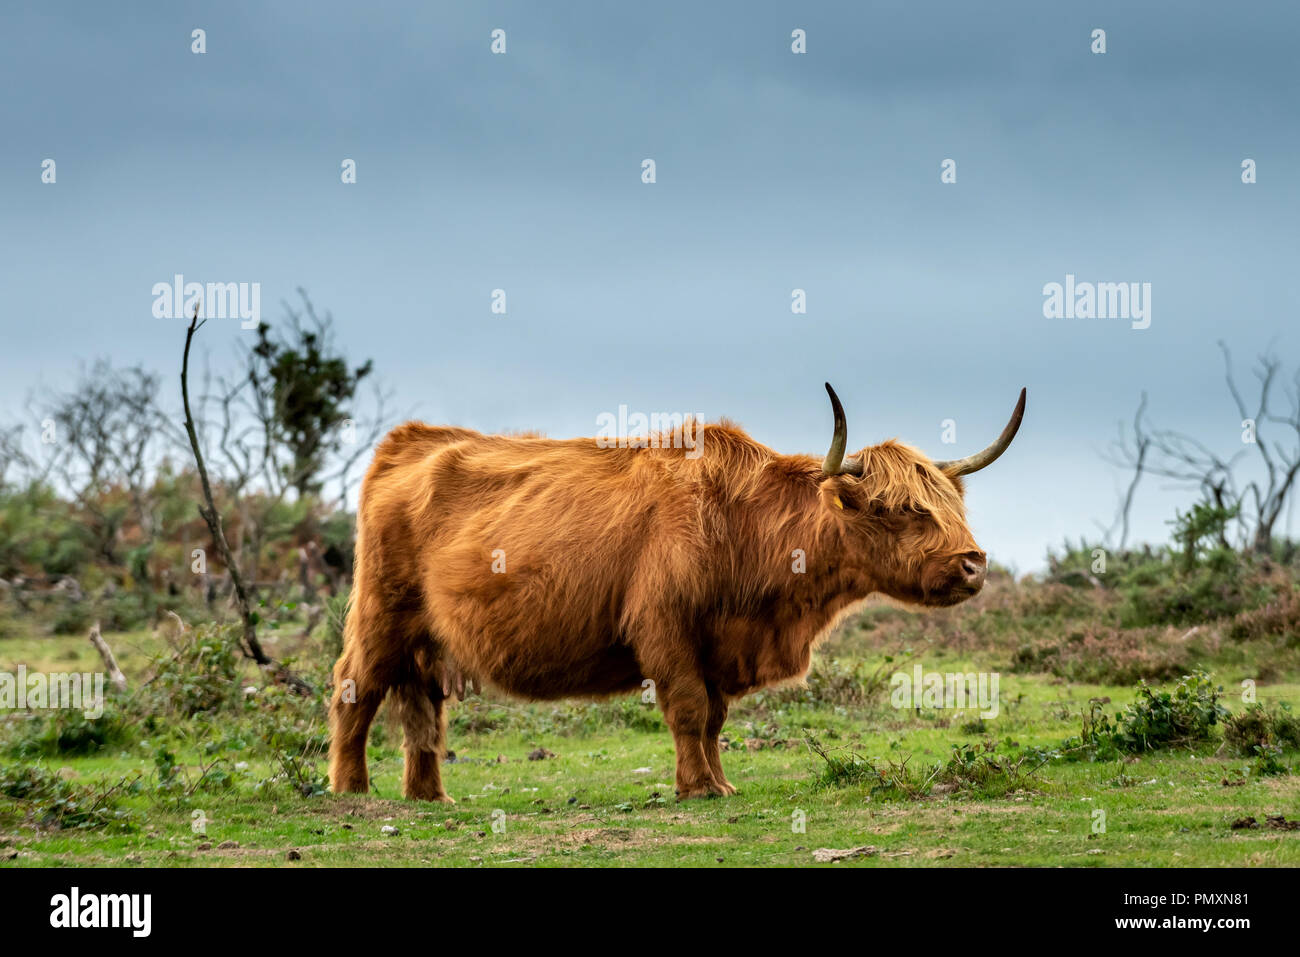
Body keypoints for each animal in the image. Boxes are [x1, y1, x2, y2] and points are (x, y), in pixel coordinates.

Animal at [328, 384, 1025, 801]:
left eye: (952, 504)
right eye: (898, 509)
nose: (973, 564)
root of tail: (413, 438)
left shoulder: (719, 647)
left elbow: (714, 720)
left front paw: (719, 782)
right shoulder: (665, 629)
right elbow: (689, 711)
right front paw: (699, 789)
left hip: (426, 639)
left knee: (422, 707)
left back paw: (428, 795)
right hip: (381, 616)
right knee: (354, 690)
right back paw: (350, 788)